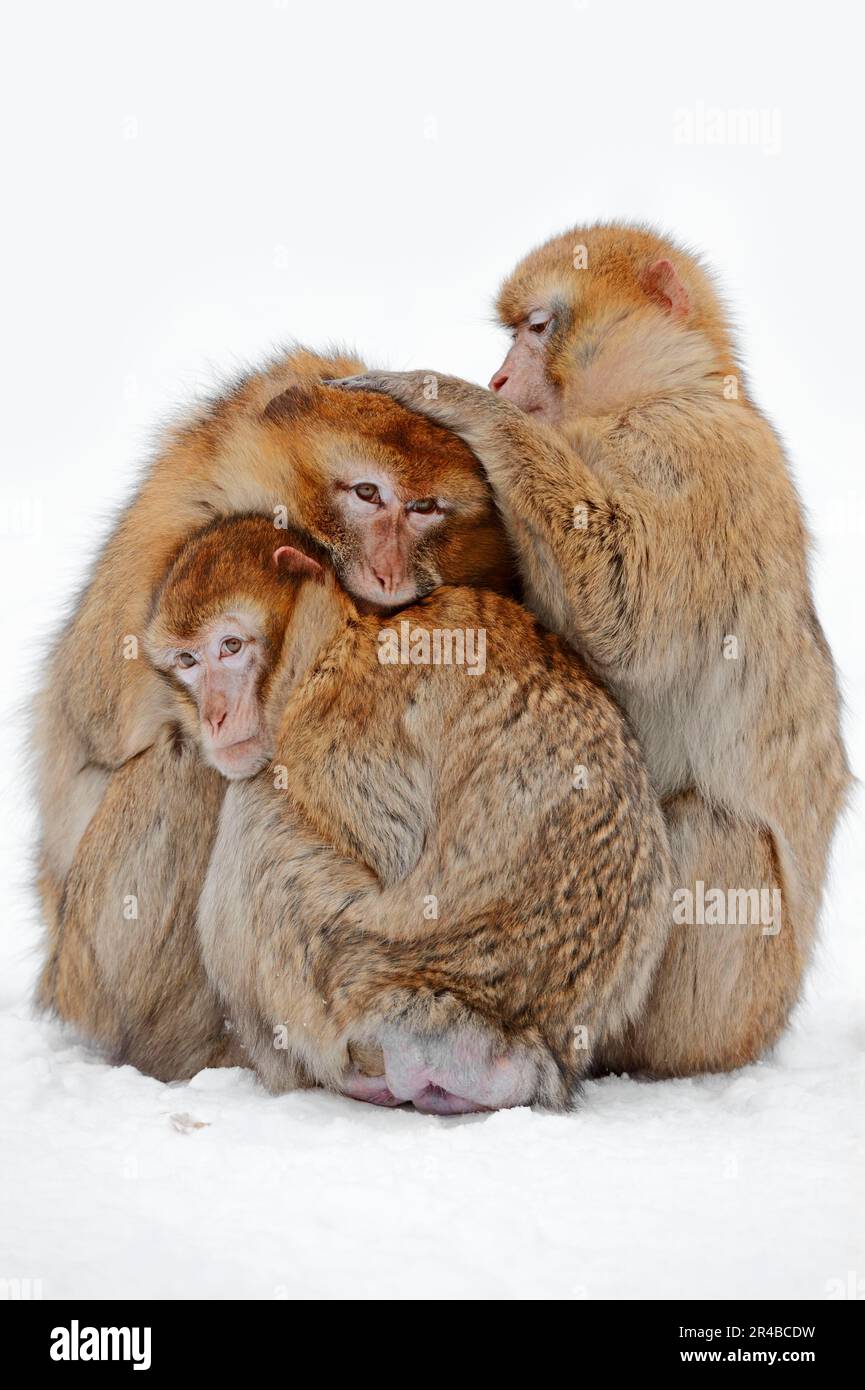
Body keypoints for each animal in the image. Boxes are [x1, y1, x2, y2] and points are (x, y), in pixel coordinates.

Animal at [34, 349, 515, 1078]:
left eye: (425, 507)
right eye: (367, 493)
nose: (387, 568)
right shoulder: (178, 525)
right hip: (94, 976)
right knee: (190, 766)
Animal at [144, 509, 672, 1113]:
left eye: (230, 646)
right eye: (188, 660)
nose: (215, 716)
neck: (331, 642)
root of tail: (511, 1038)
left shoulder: (338, 720)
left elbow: (387, 851)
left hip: (353, 971)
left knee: (255, 811)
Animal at [329, 222, 850, 1078]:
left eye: (537, 327)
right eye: (512, 333)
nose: (500, 376)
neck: (661, 391)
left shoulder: (691, 457)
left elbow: (622, 615)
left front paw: (457, 402)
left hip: (733, 1002)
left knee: (712, 836)